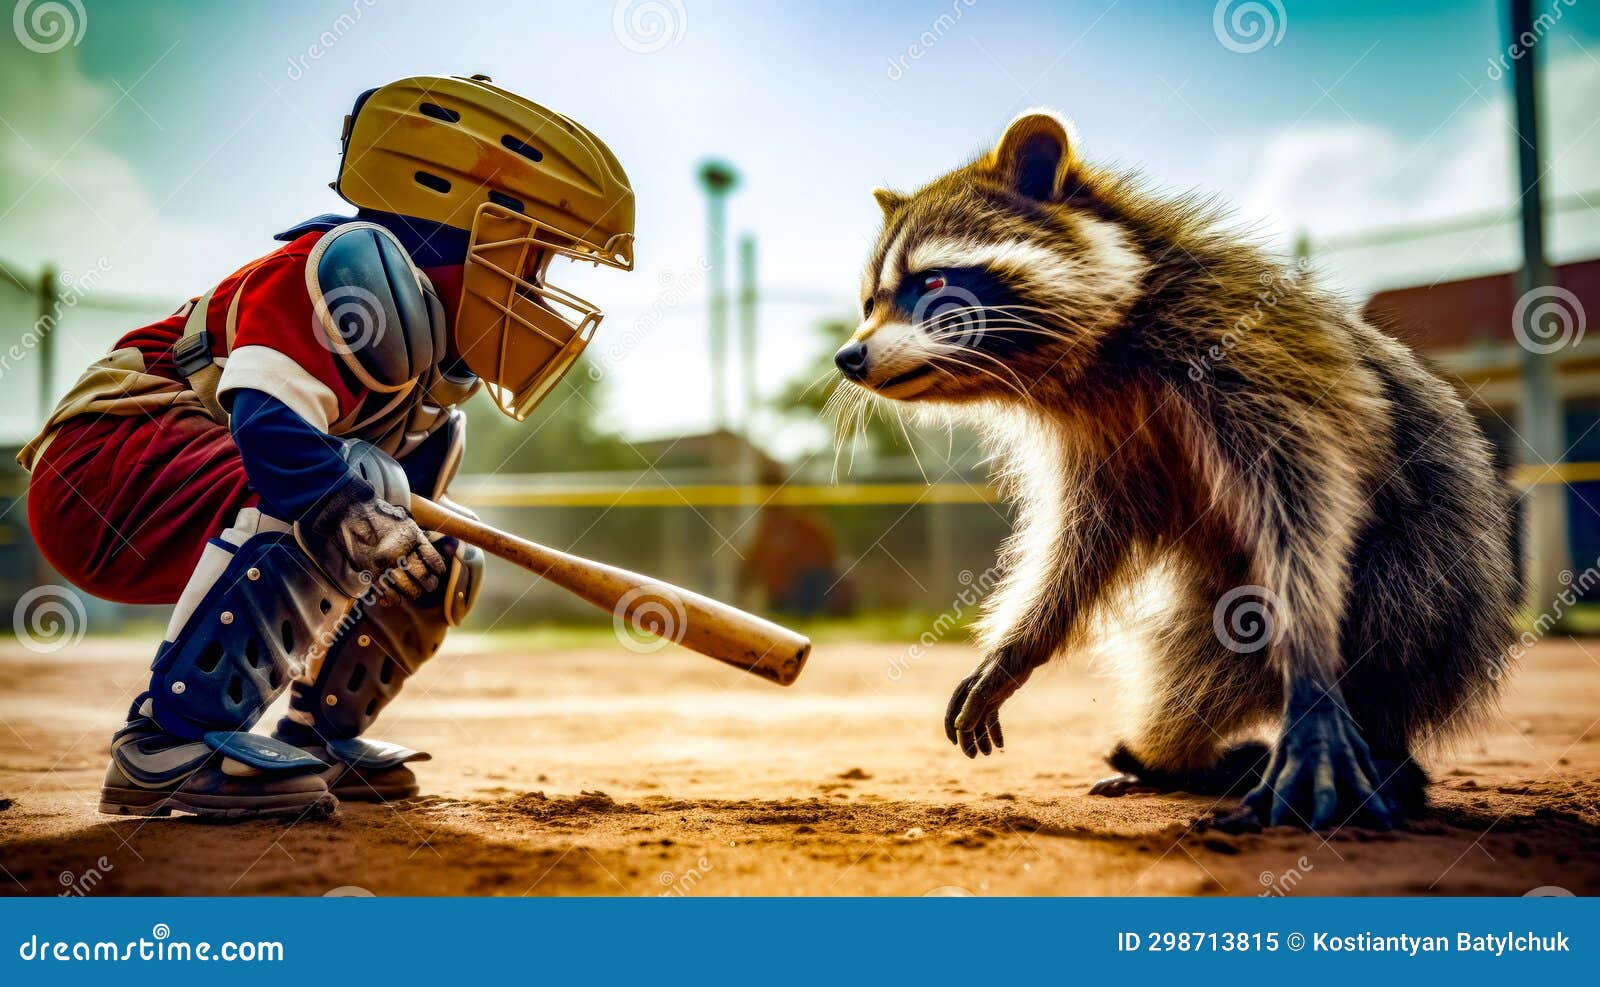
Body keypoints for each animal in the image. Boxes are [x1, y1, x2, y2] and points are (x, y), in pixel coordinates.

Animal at [837, 109, 1519, 830]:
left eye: (934, 283)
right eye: (869, 303)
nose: (847, 358)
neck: (1108, 348)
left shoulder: (1245, 349)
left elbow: (1307, 498)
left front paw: (1310, 664)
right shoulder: (1100, 440)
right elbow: (1084, 542)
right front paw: (1017, 648)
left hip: (1431, 579)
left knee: (1370, 634)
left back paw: (1375, 754)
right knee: (1183, 676)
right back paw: (1169, 759)